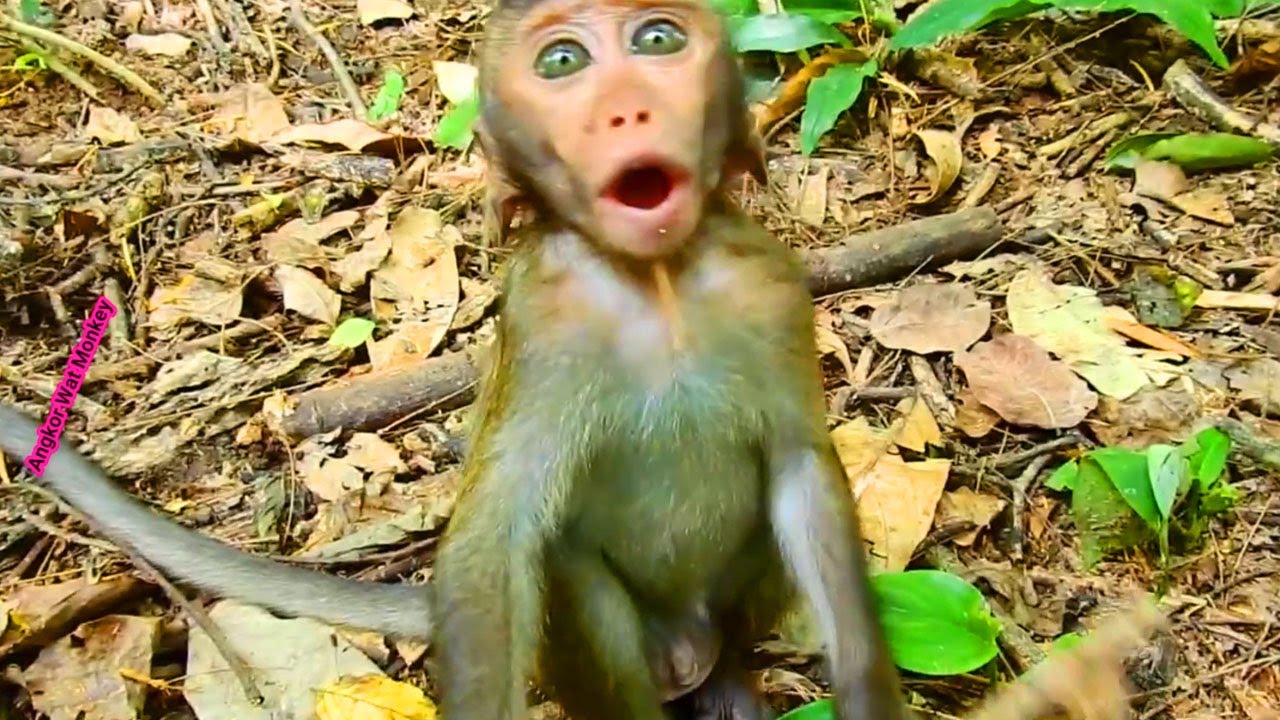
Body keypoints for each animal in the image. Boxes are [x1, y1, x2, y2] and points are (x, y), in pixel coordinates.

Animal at [0, 0, 912, 716]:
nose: (628, 112)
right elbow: (496, 537)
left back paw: (728, 685)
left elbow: (801, 473)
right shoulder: (543, 323)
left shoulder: (773, 289)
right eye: (562, 62)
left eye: (658, 39)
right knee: (570, 577)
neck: (658, 287)